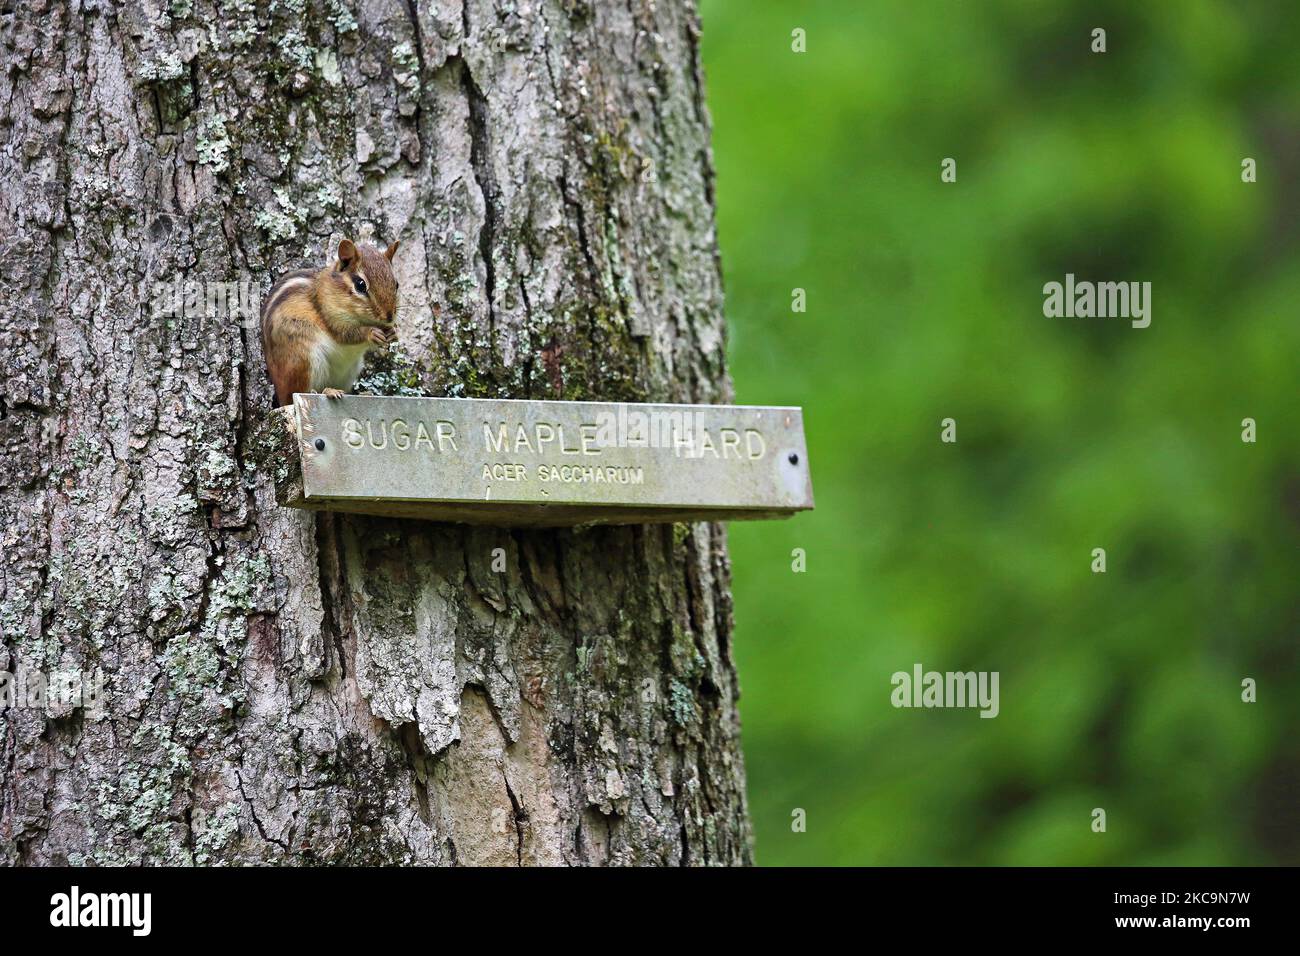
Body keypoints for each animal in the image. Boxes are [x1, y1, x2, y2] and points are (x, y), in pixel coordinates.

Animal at [261, 238, 401, 407]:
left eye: (396, 284)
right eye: (360, 285)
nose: (389, 316)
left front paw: (393, 333)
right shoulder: (330, 315)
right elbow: (346, 334)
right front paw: (371, 333)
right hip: (304, 359)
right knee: (299, 391)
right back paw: (328, 391)